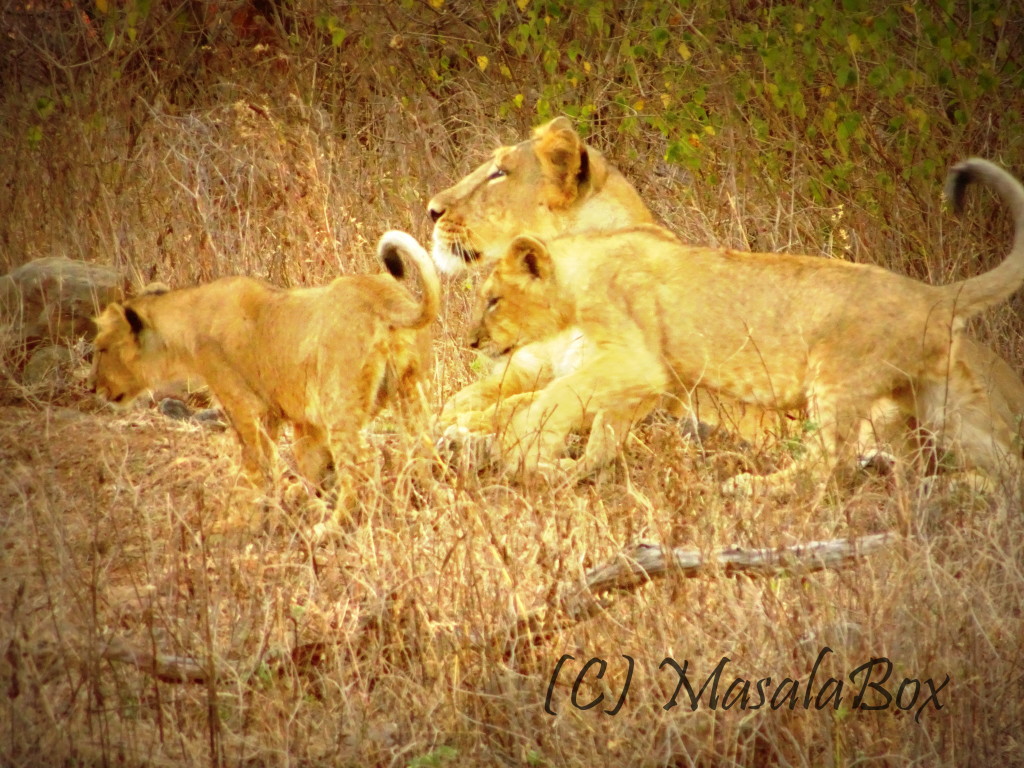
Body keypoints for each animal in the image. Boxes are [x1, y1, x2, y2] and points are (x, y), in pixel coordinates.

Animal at [90, 231, 439, 526]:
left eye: (101, 348)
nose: (94, 387)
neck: (187, 322)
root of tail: (381, 296)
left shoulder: (246, 410)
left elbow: (254, 466)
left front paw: (239, 522)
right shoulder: (291, 417)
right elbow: (302, 465)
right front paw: (290, 508)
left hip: (339, 402)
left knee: (362, 462)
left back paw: (332, 528)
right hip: (410, 392)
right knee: (422, 449)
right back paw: (433, 507)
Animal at [429, 117, 1024, 462]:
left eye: (499, 173)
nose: (431, 210)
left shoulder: (647, 385)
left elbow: (514, 408)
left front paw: (465, 436)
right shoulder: (526, 366)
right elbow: (469, 397)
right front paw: (448, 424)